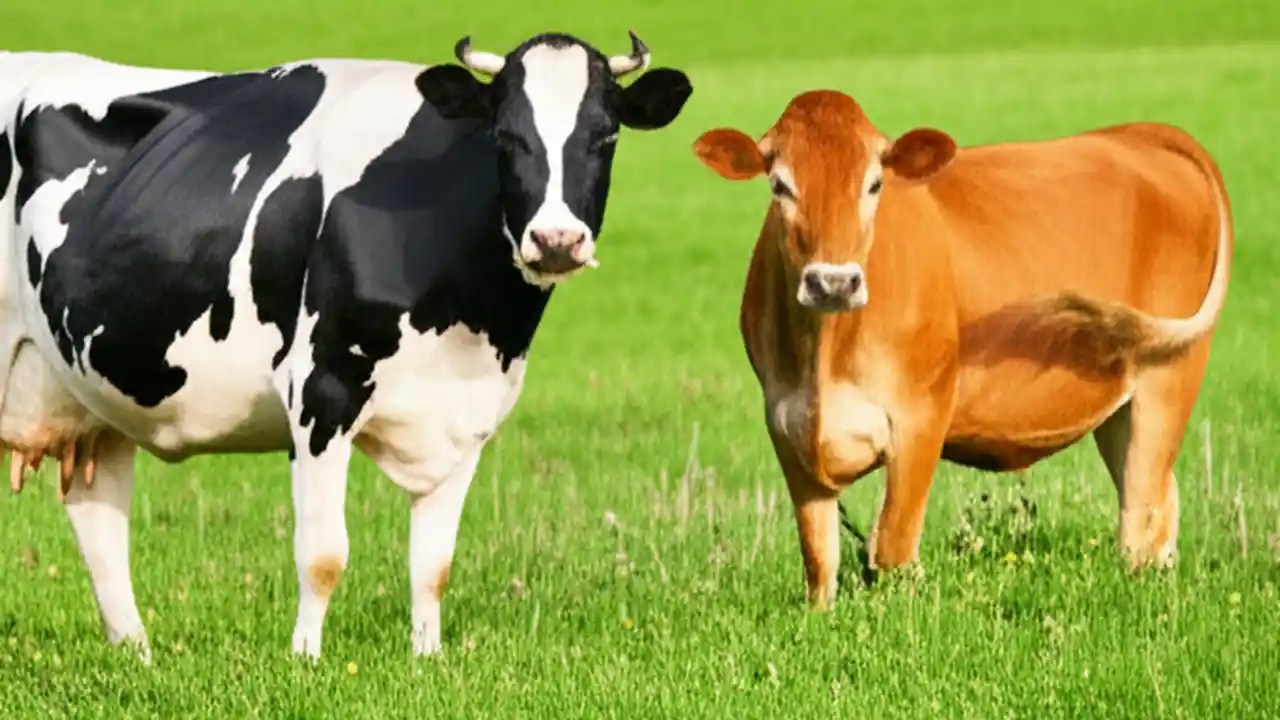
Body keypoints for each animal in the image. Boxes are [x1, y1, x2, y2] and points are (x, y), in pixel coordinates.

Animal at [0, 31, 692, 661]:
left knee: (98, 519)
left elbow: (434, 564)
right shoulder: (321, 391)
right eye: (505, 136)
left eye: (606, 136)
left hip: (90, 394)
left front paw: (428, 659)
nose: (555, 240)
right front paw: (305, 659)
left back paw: (137, 654)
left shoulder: (469, 414)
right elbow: (323, 553)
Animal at [691, 89, 1230, 608]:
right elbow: (819, 563)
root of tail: (1142, 133)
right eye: (779, 185)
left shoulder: (920, 419)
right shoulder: (786, 425)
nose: (833, 283)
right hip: (1121, 408)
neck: (824, 356)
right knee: (1161, 509)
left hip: (1167, 382)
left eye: (874, 184)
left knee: (1141, 516)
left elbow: (892, 549)